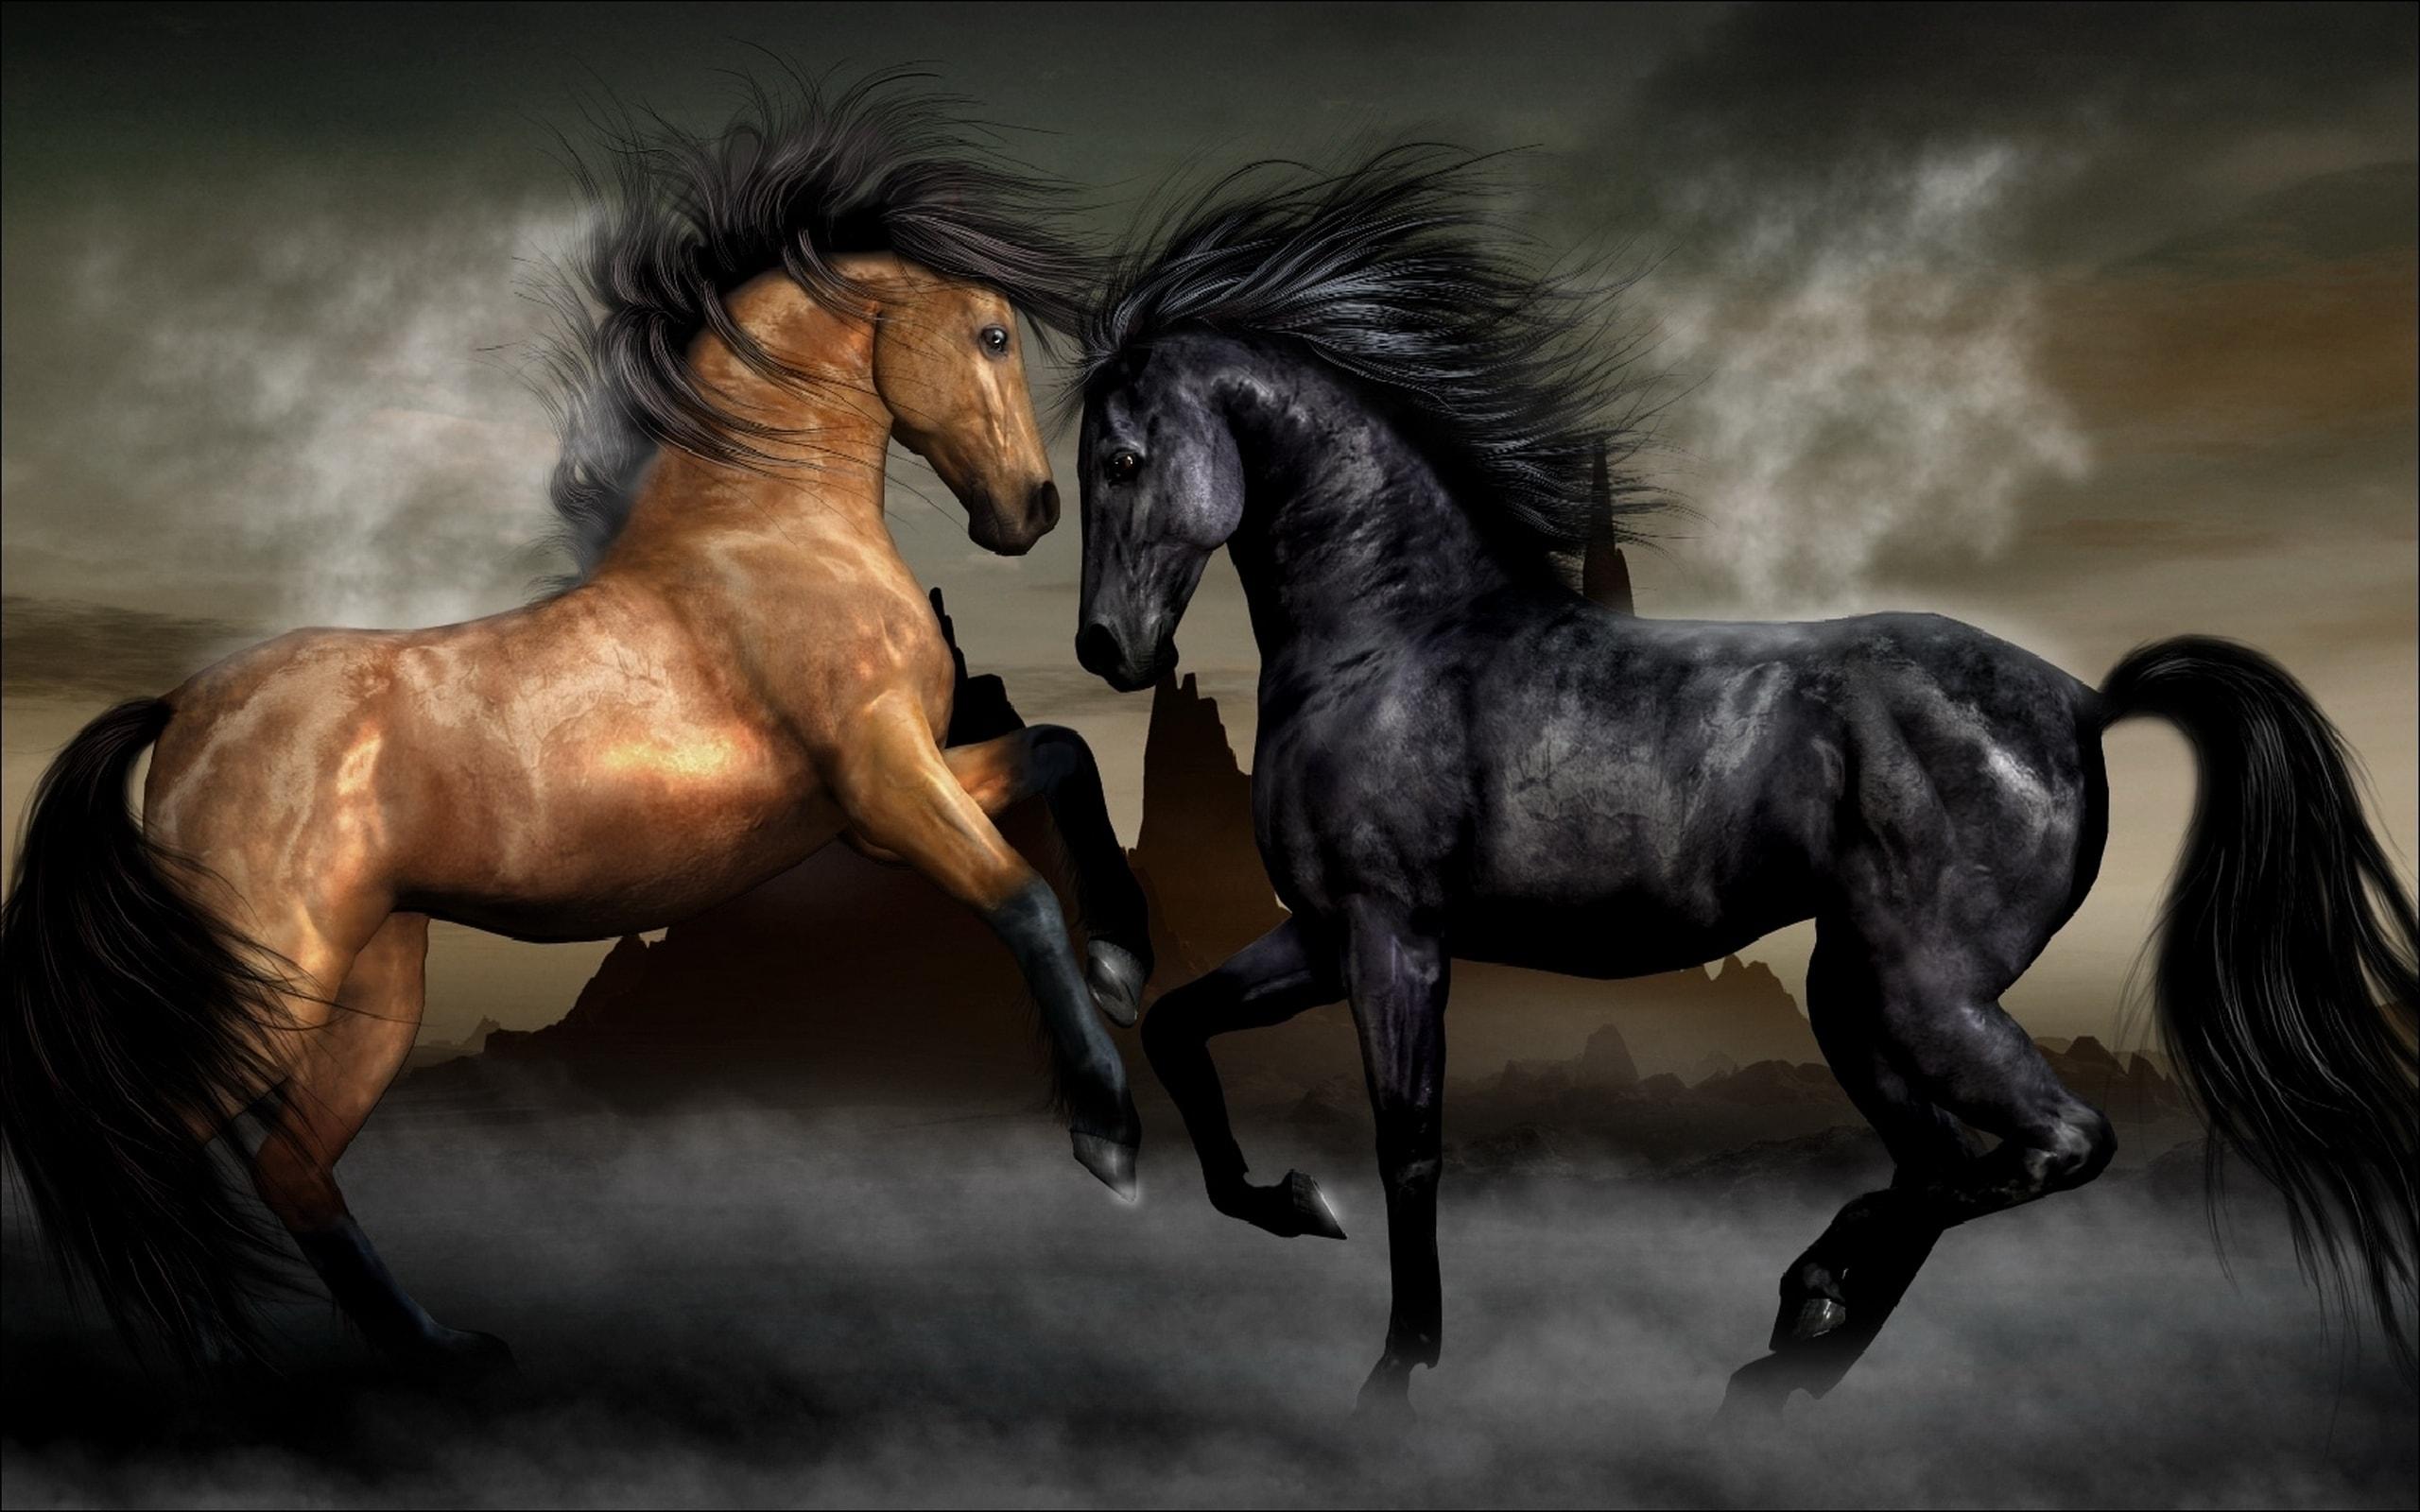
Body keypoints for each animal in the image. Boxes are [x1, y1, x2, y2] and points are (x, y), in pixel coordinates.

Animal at [0, 76, 1154, 1375]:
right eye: (993, 335)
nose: (1031, 510)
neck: (767, 542)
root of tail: (181, 710)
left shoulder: (874, 803)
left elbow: (1063, 757)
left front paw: (1125, 965)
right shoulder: (883, 781)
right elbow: (1022, 898)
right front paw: (1108, 1133)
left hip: (366, 988)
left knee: (288, 1169)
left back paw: (441, 1349)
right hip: (272, 975)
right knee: (140, 1143)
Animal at [1065, 149, 2418, 1415]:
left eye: (1121, 460)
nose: (1107, 650)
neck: (1396, 633)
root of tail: (2079, 700)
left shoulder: (1393, 934)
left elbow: (1408, 1142)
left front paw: (1396, 1366)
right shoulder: (1319, 930)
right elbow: (1177, 1025)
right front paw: (1288, 1201)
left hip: (1921, 988)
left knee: (2046, 1145)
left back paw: (1803, 1308)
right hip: (1852, 988)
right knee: (1939, 1160)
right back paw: (1791, 1352)